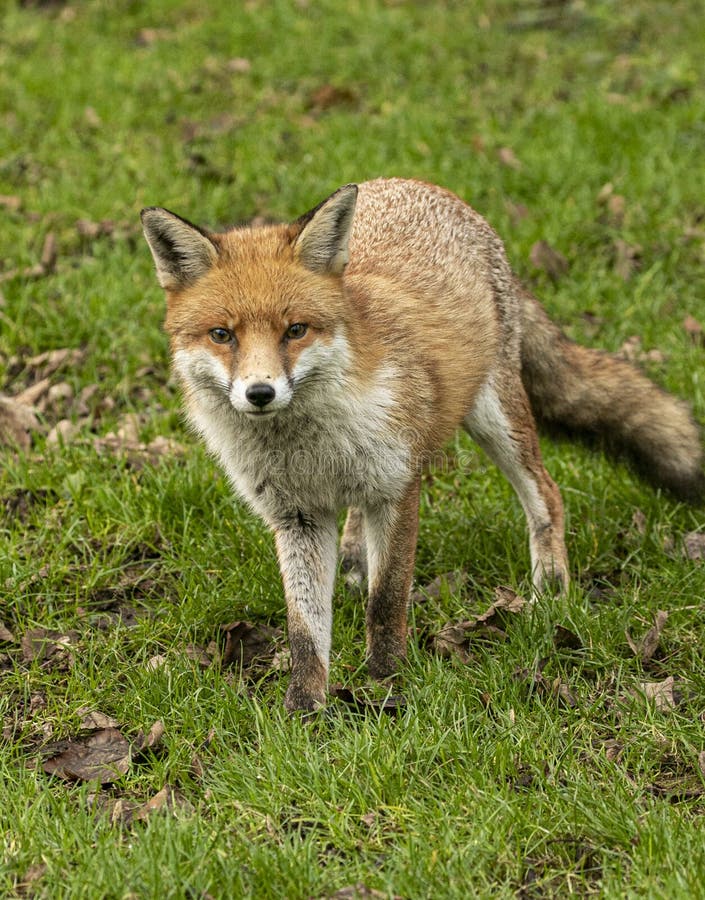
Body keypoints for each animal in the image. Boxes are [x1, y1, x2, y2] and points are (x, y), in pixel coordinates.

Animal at [141, 178, 704, 712]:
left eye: (295, 330)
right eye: (222, 334)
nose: (260, 393)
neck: (307, 447)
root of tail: (428, 188)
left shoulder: (397, 488)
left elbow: (387, 601)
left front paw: (384, 685)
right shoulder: (297, 514)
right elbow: (305, 630)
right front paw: (304, 708)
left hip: (495, 417)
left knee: (548, 493)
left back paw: (550, 588)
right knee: (356, 523)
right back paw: (352, 563)